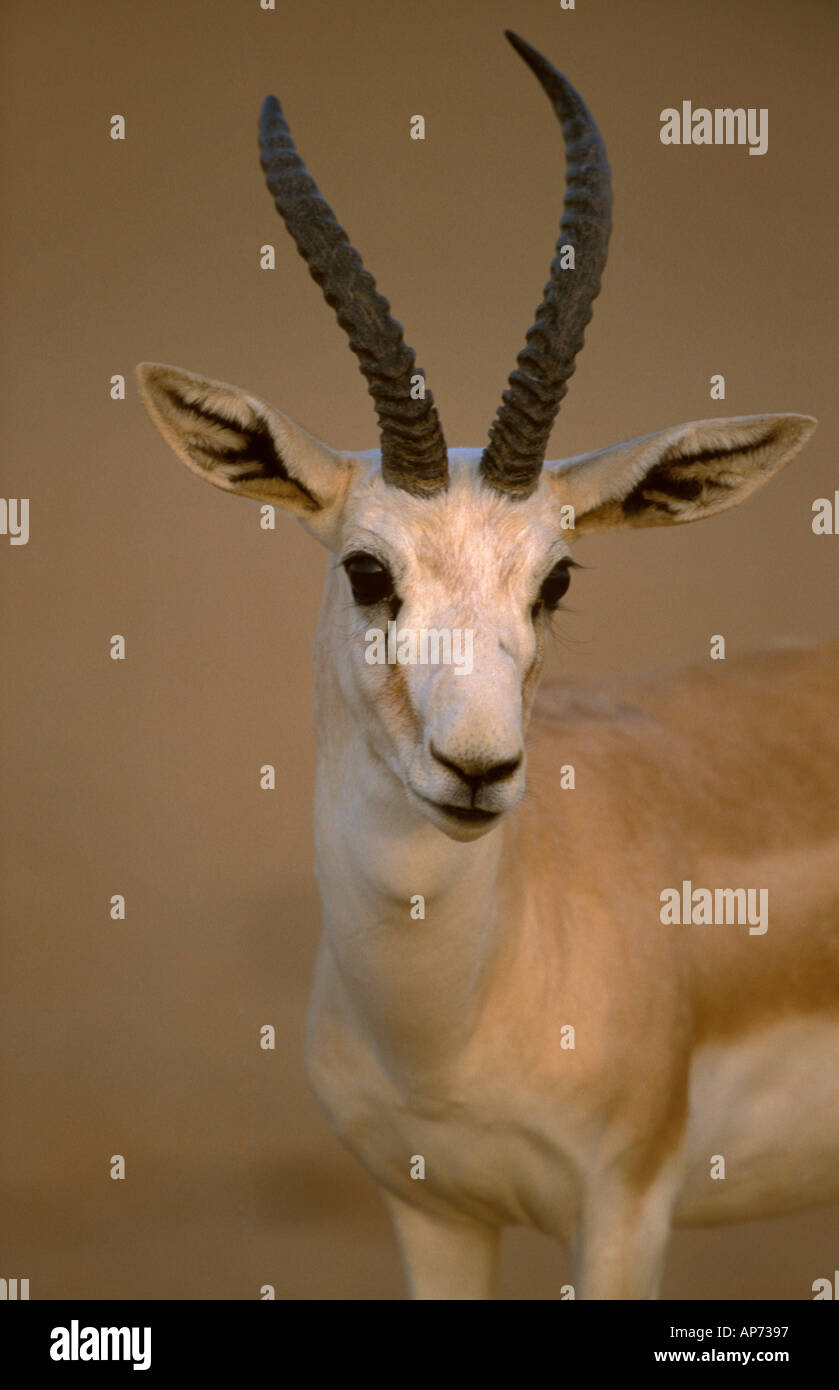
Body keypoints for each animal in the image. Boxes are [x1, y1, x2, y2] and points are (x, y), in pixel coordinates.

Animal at [137, 32, 839, 1299]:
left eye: (554, 580)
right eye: (368, 569)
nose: (477, 769)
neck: (449, 1021)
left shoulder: (622, 1211)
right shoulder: (431, 1209)